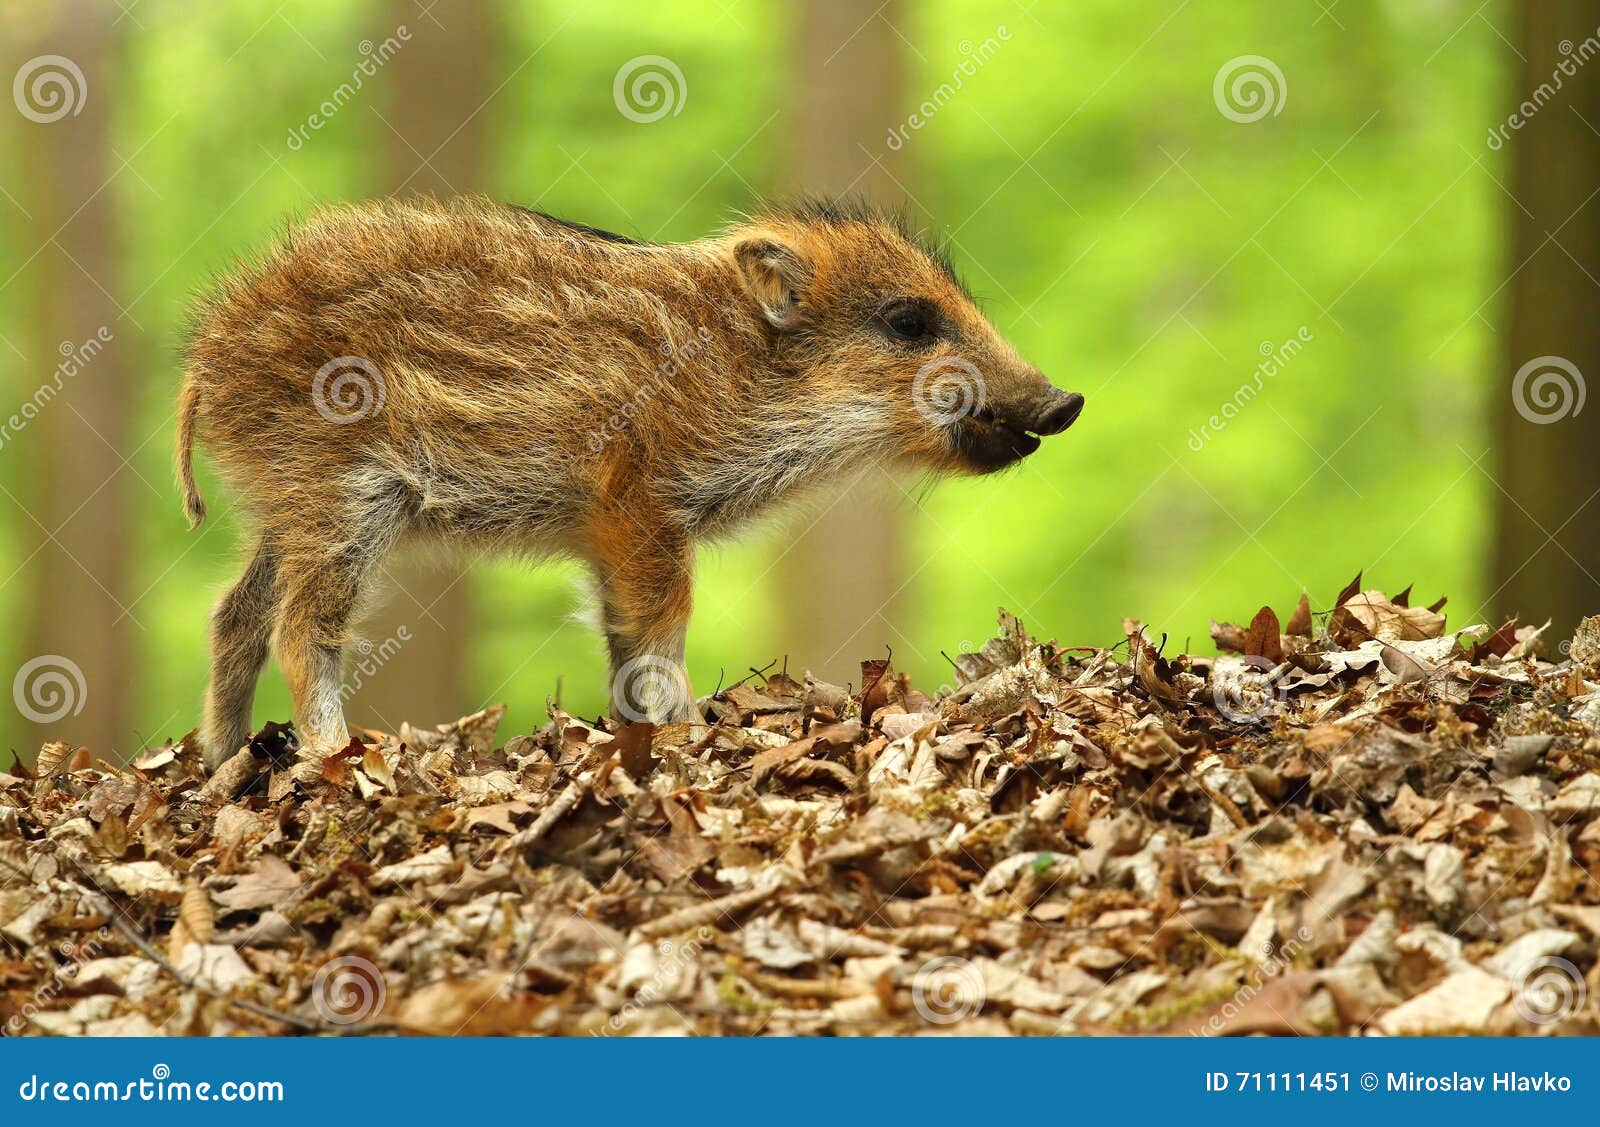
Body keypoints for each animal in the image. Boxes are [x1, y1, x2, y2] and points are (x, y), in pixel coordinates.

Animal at [178, 196, 1084, 769]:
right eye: (908, 320)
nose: (1066, 401)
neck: (739, 370)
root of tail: (208, 356)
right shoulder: (637, 501)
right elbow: (660, 623)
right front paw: (687, 737)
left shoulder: (607, 531)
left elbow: (621, 634)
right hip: (336, 494)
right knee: (301, 627)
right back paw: (336, 756)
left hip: (282, 505)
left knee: (233, 613)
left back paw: (222, 759)